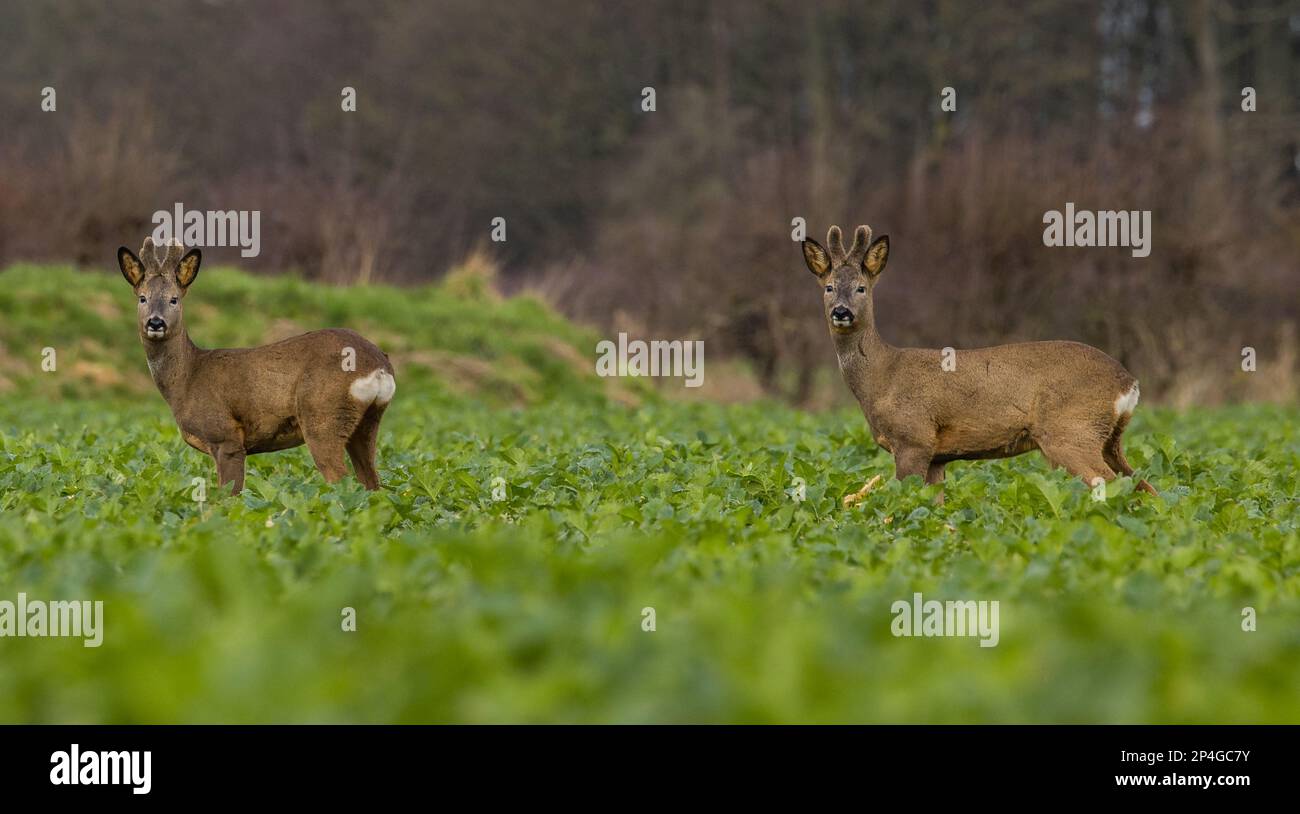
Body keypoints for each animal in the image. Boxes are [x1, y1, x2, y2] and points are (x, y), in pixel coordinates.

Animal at [117, 237, 396, 495]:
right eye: (142, 298)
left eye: (174, 299)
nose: (155, 322)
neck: (186, 379)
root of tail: (380, 366)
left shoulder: (226, 438)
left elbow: (229, 494)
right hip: (368, 422)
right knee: (372, 483)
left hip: (323, 416)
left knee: (341, 480)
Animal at [800, 224, 1158, 506]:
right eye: (829, 287)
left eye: (861, 287)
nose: (842, 312)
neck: (882, 378)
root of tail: (1129, 383)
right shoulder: (938, 457)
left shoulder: (914, 439)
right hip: (1109, 439)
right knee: (1144, 486)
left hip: (1070, 431)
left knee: (1108, 482)